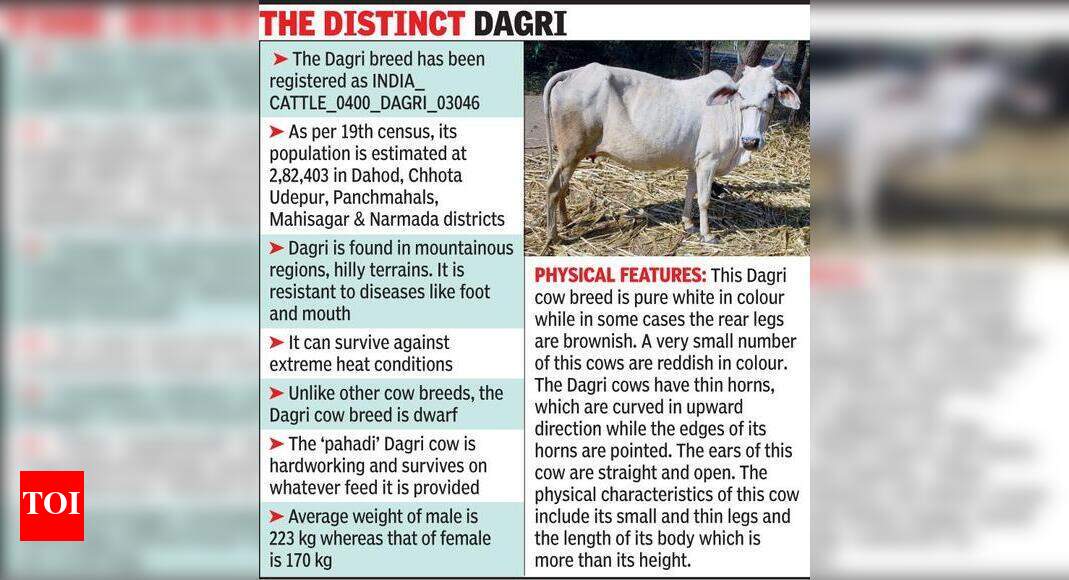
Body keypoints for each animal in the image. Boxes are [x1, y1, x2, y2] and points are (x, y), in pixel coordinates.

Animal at [542, 52, 800, 244]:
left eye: (771, 94)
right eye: (740, 94)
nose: (750, 141)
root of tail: (574, 72)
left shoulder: (696, 162)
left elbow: (690, 192)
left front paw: (689, 224)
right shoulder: (708, 161)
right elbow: (704, 199)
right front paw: (707, 235)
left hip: (571, 154)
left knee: (563, 187)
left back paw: (566, 222)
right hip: (571, 150)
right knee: (554, 186)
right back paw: (554, 235)